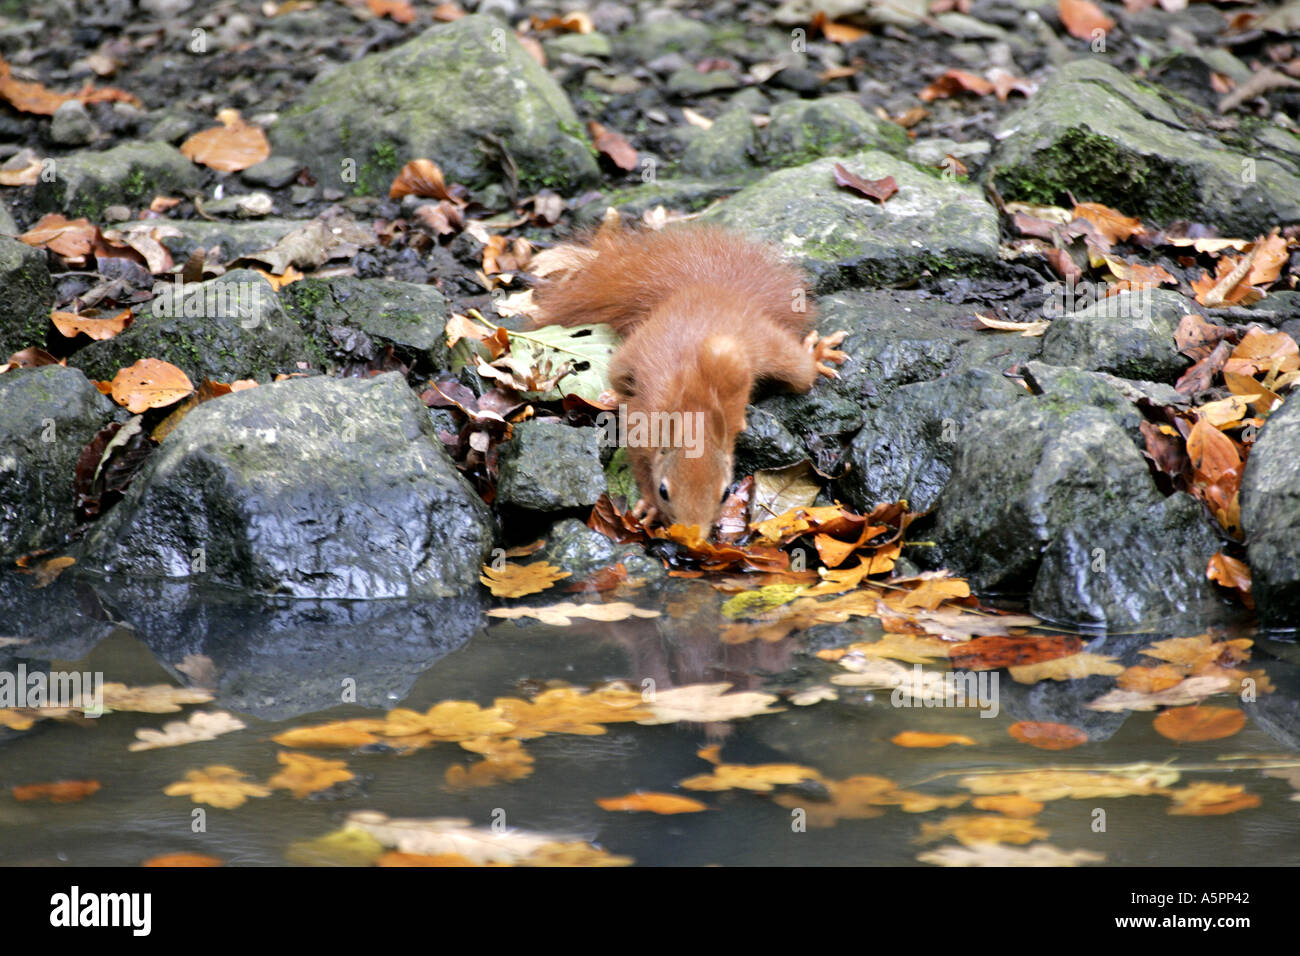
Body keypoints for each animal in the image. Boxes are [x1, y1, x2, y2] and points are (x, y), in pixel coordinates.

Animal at [532, 223, 847, 534]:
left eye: (725, 493)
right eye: (663, 491)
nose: (692, 537)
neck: (695, 409)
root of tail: (708, 289)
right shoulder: (644, 425)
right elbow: (638, 460)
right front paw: (649, 505)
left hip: (770, 345)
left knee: (801, 372)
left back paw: (817, 355)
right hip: (629, 354)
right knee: (621, 376)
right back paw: (615, 395)